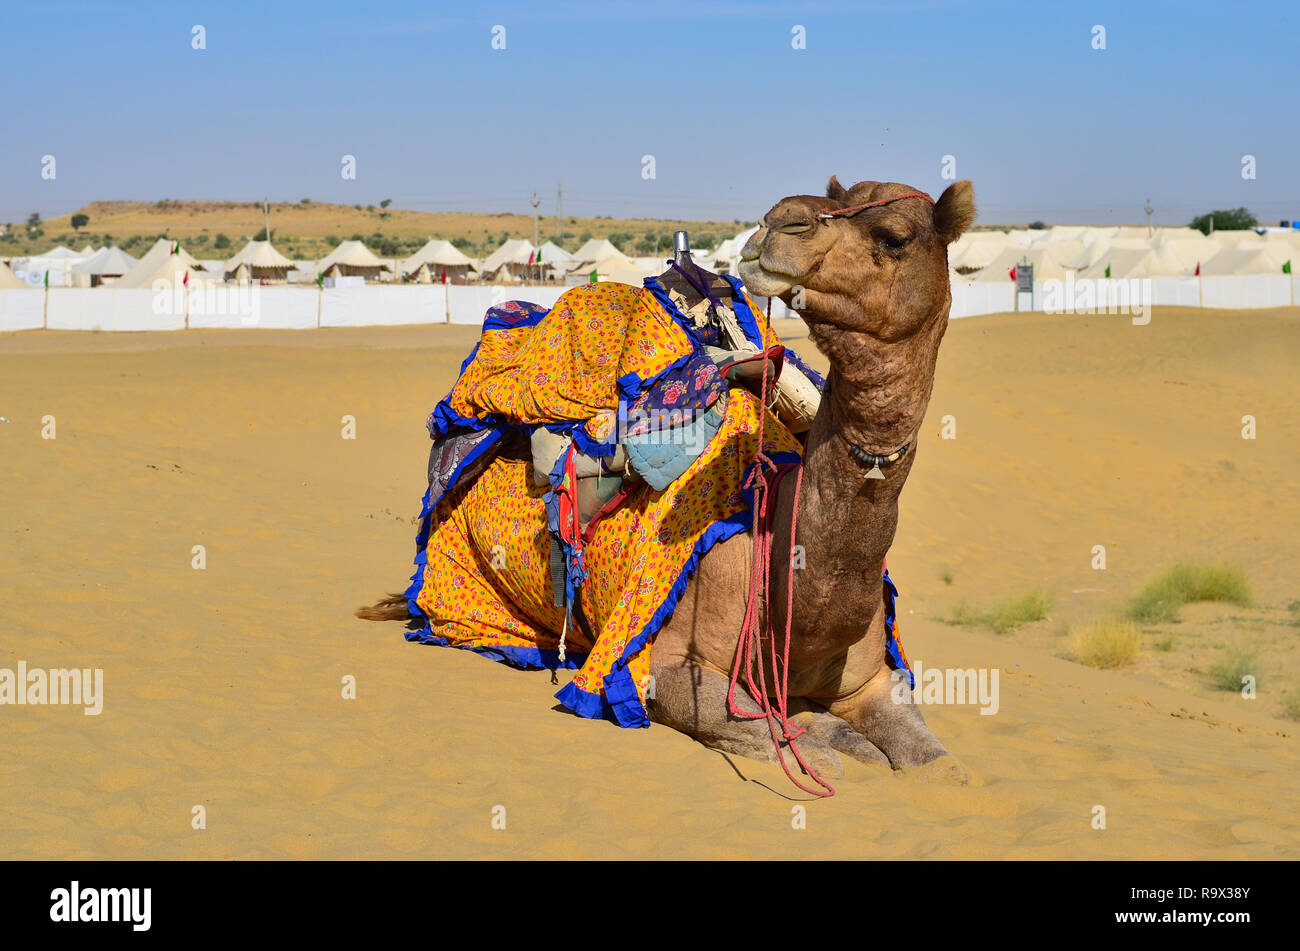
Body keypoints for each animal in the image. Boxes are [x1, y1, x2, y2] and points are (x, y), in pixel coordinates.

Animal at [362, 176, 976, 787]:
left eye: (894, 236)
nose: (782, 220)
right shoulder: (662, 665)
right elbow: (794, 739)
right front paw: (832, 739)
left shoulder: (875, 679)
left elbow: (941, 764)